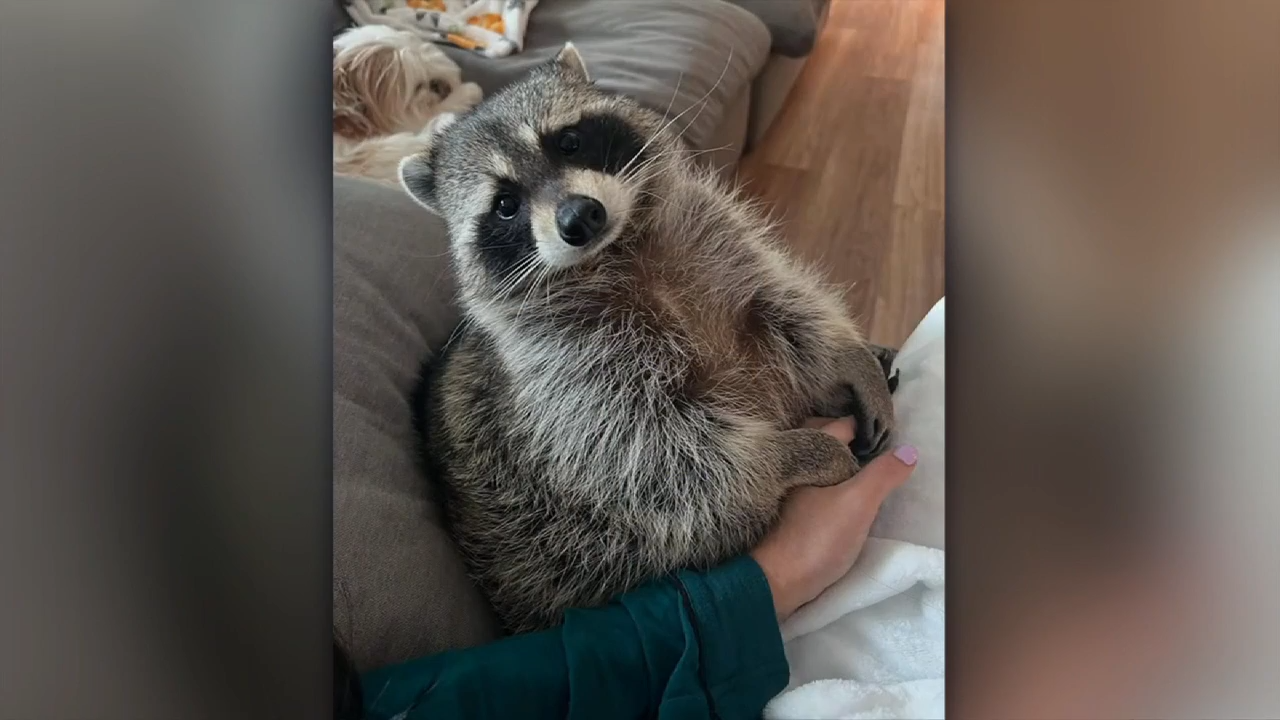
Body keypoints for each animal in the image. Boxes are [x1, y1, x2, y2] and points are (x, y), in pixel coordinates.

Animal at [399, 44, 897, 634]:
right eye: (505, 204)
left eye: (568, 141)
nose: (579, 217)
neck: (619, 251)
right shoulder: (559, 369)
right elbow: (652, 456)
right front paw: (786, 455)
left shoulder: (718, 242)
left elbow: (784, 303)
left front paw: (847, 355)